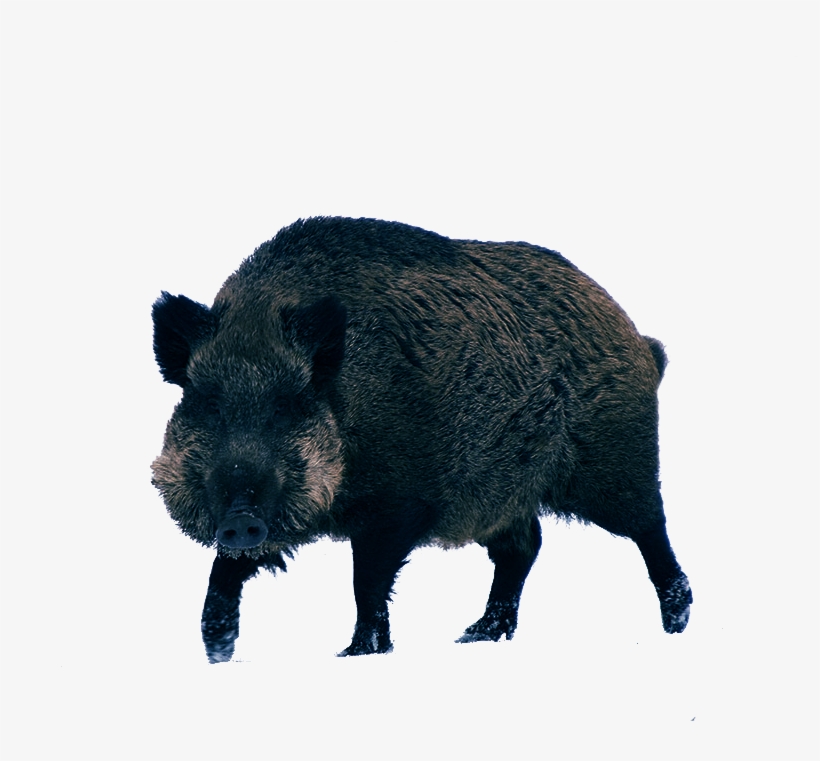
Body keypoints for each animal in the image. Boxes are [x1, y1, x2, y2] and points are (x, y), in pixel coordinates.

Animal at [151, 216, 692, 663]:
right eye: (208, 402)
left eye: (287, 404)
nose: (240, 515)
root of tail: (639, 341)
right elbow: (225, 570)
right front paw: (217, 651)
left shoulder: (399, 504)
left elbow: (367, 582)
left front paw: (357, 654)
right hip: (500, 493)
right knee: (525, 545)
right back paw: (475, 635)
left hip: (614, 460)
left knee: (649, 527)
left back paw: (676, 623)